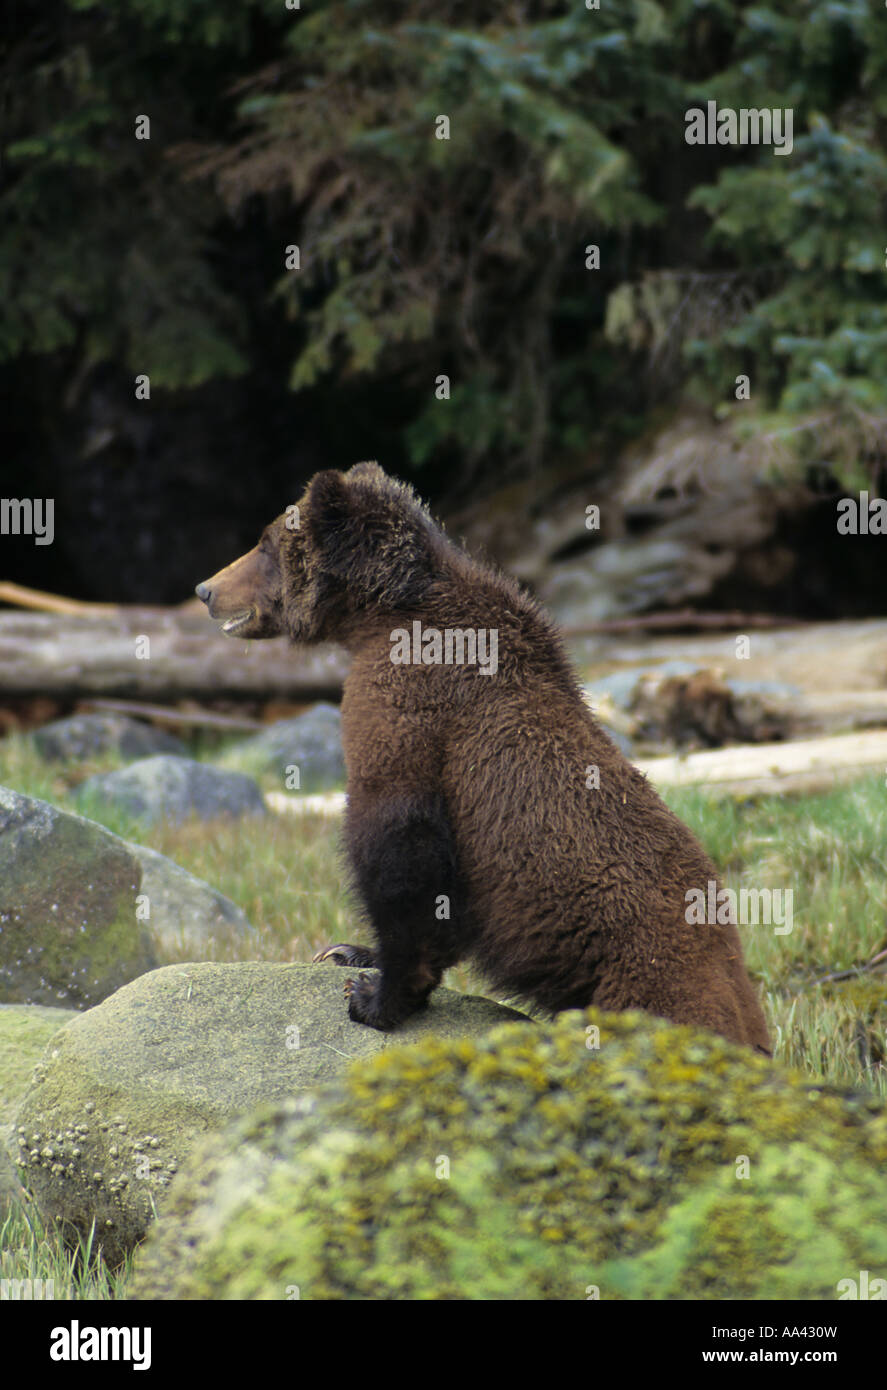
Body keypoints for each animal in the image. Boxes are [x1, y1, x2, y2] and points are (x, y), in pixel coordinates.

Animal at [196, 461, 771, 1053]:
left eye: (265, 544)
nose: (205, 589)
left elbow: (397, 833)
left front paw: (374, 995)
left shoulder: (409, 704)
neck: (376, 615)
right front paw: (348, 951)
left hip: (645, 985)